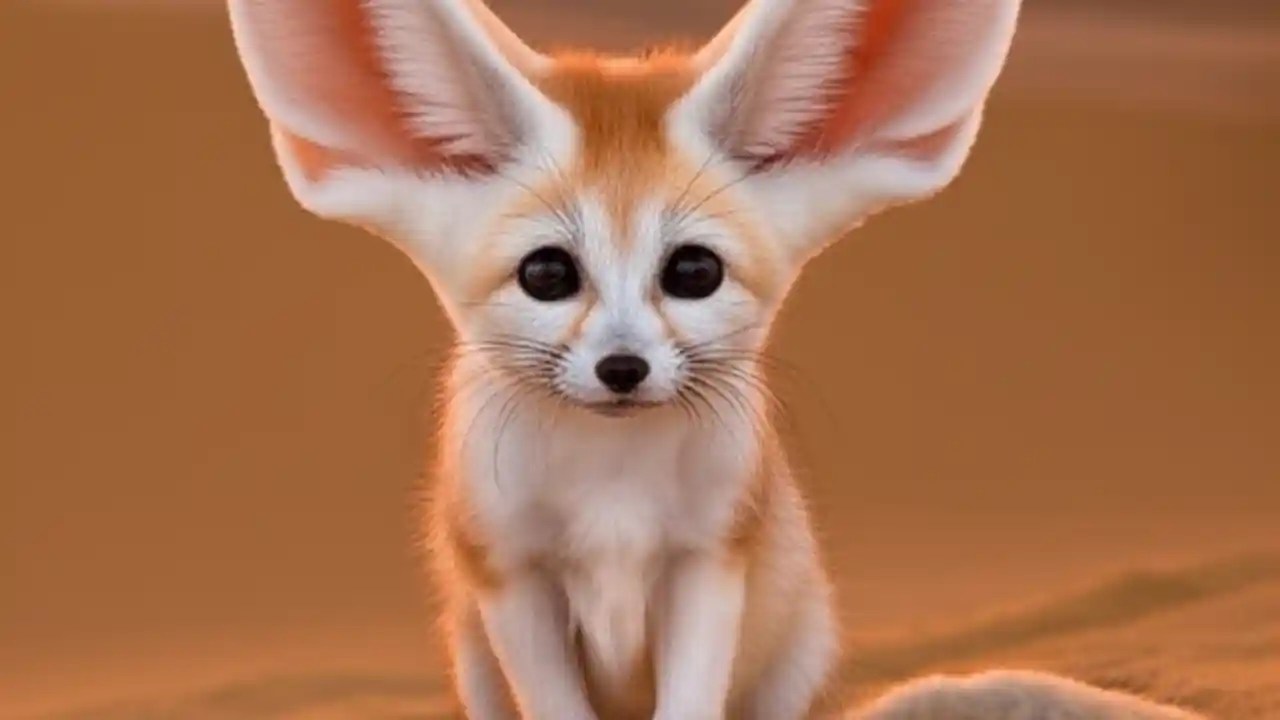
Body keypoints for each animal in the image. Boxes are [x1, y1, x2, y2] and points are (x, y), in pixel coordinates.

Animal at [225, 1, 1207, 718]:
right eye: (547, 274)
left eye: (692, 272)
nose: (623, 369)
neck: (611, 493)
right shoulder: (510, 578)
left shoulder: (708, 562)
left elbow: (692, 699)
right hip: (468, 653)